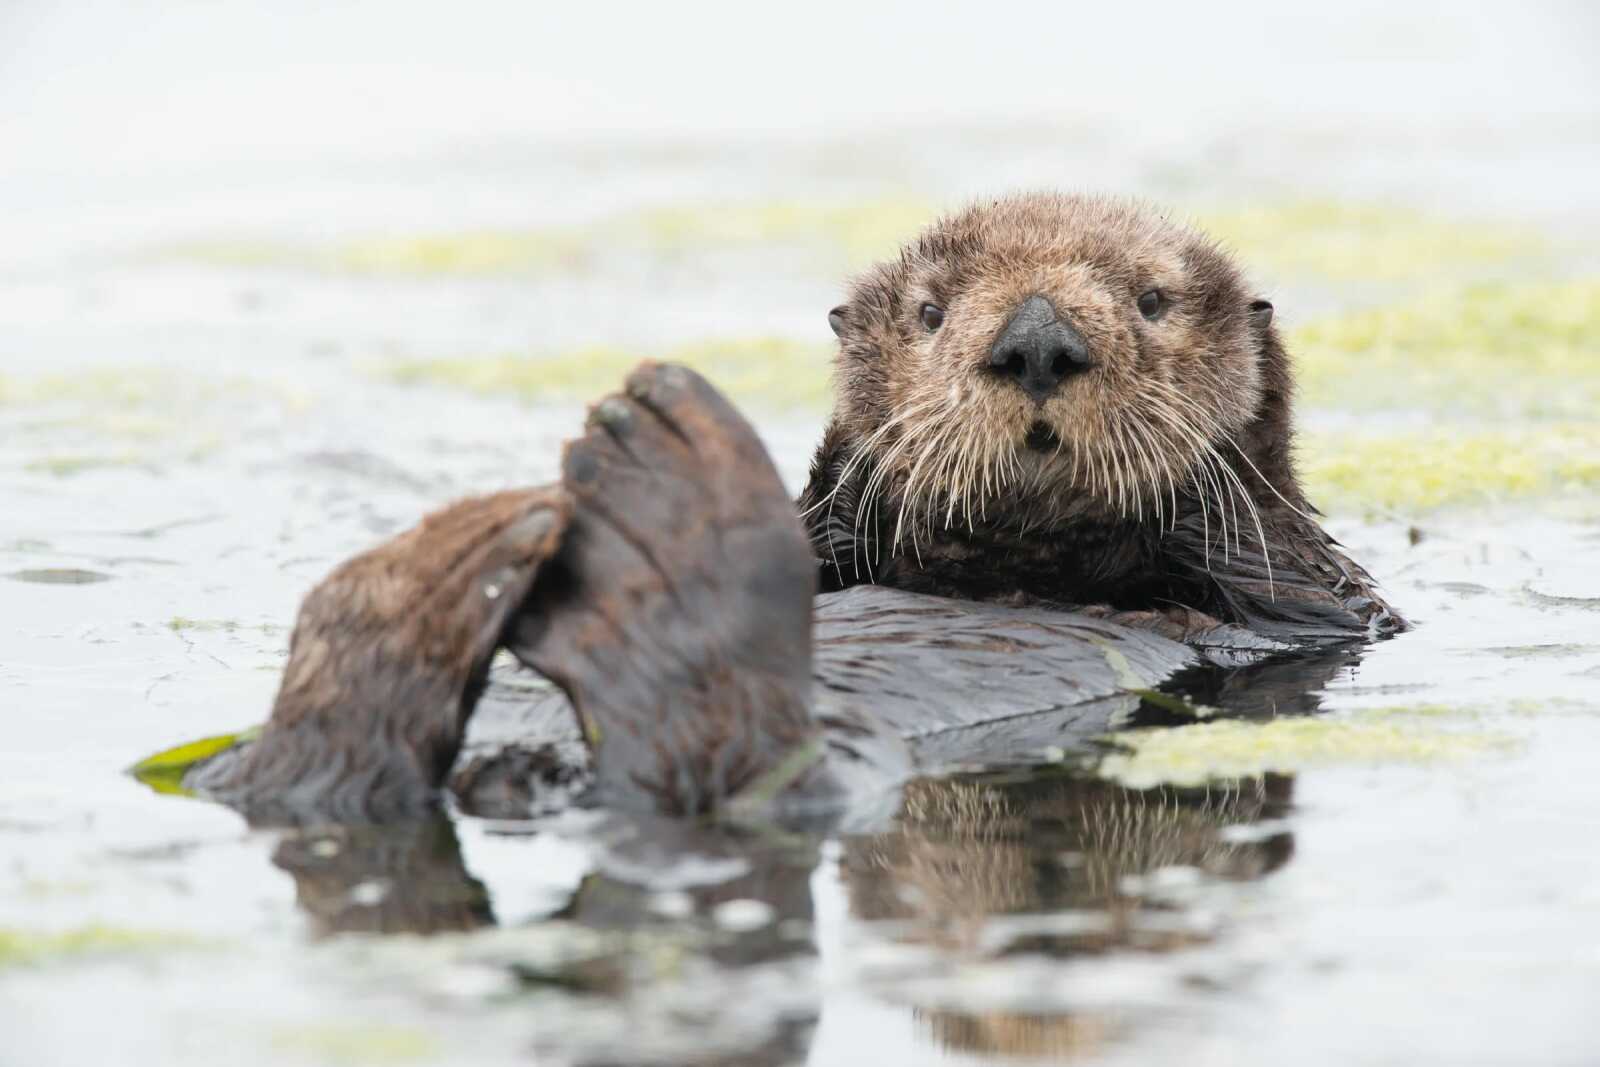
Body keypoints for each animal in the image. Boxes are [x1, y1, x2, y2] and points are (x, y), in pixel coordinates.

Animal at [144, 193, 1402, 823]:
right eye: (933, 310)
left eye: (1150, 299)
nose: (1037, 338)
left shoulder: (1311, 601)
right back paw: (426, 575)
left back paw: (661, 505)